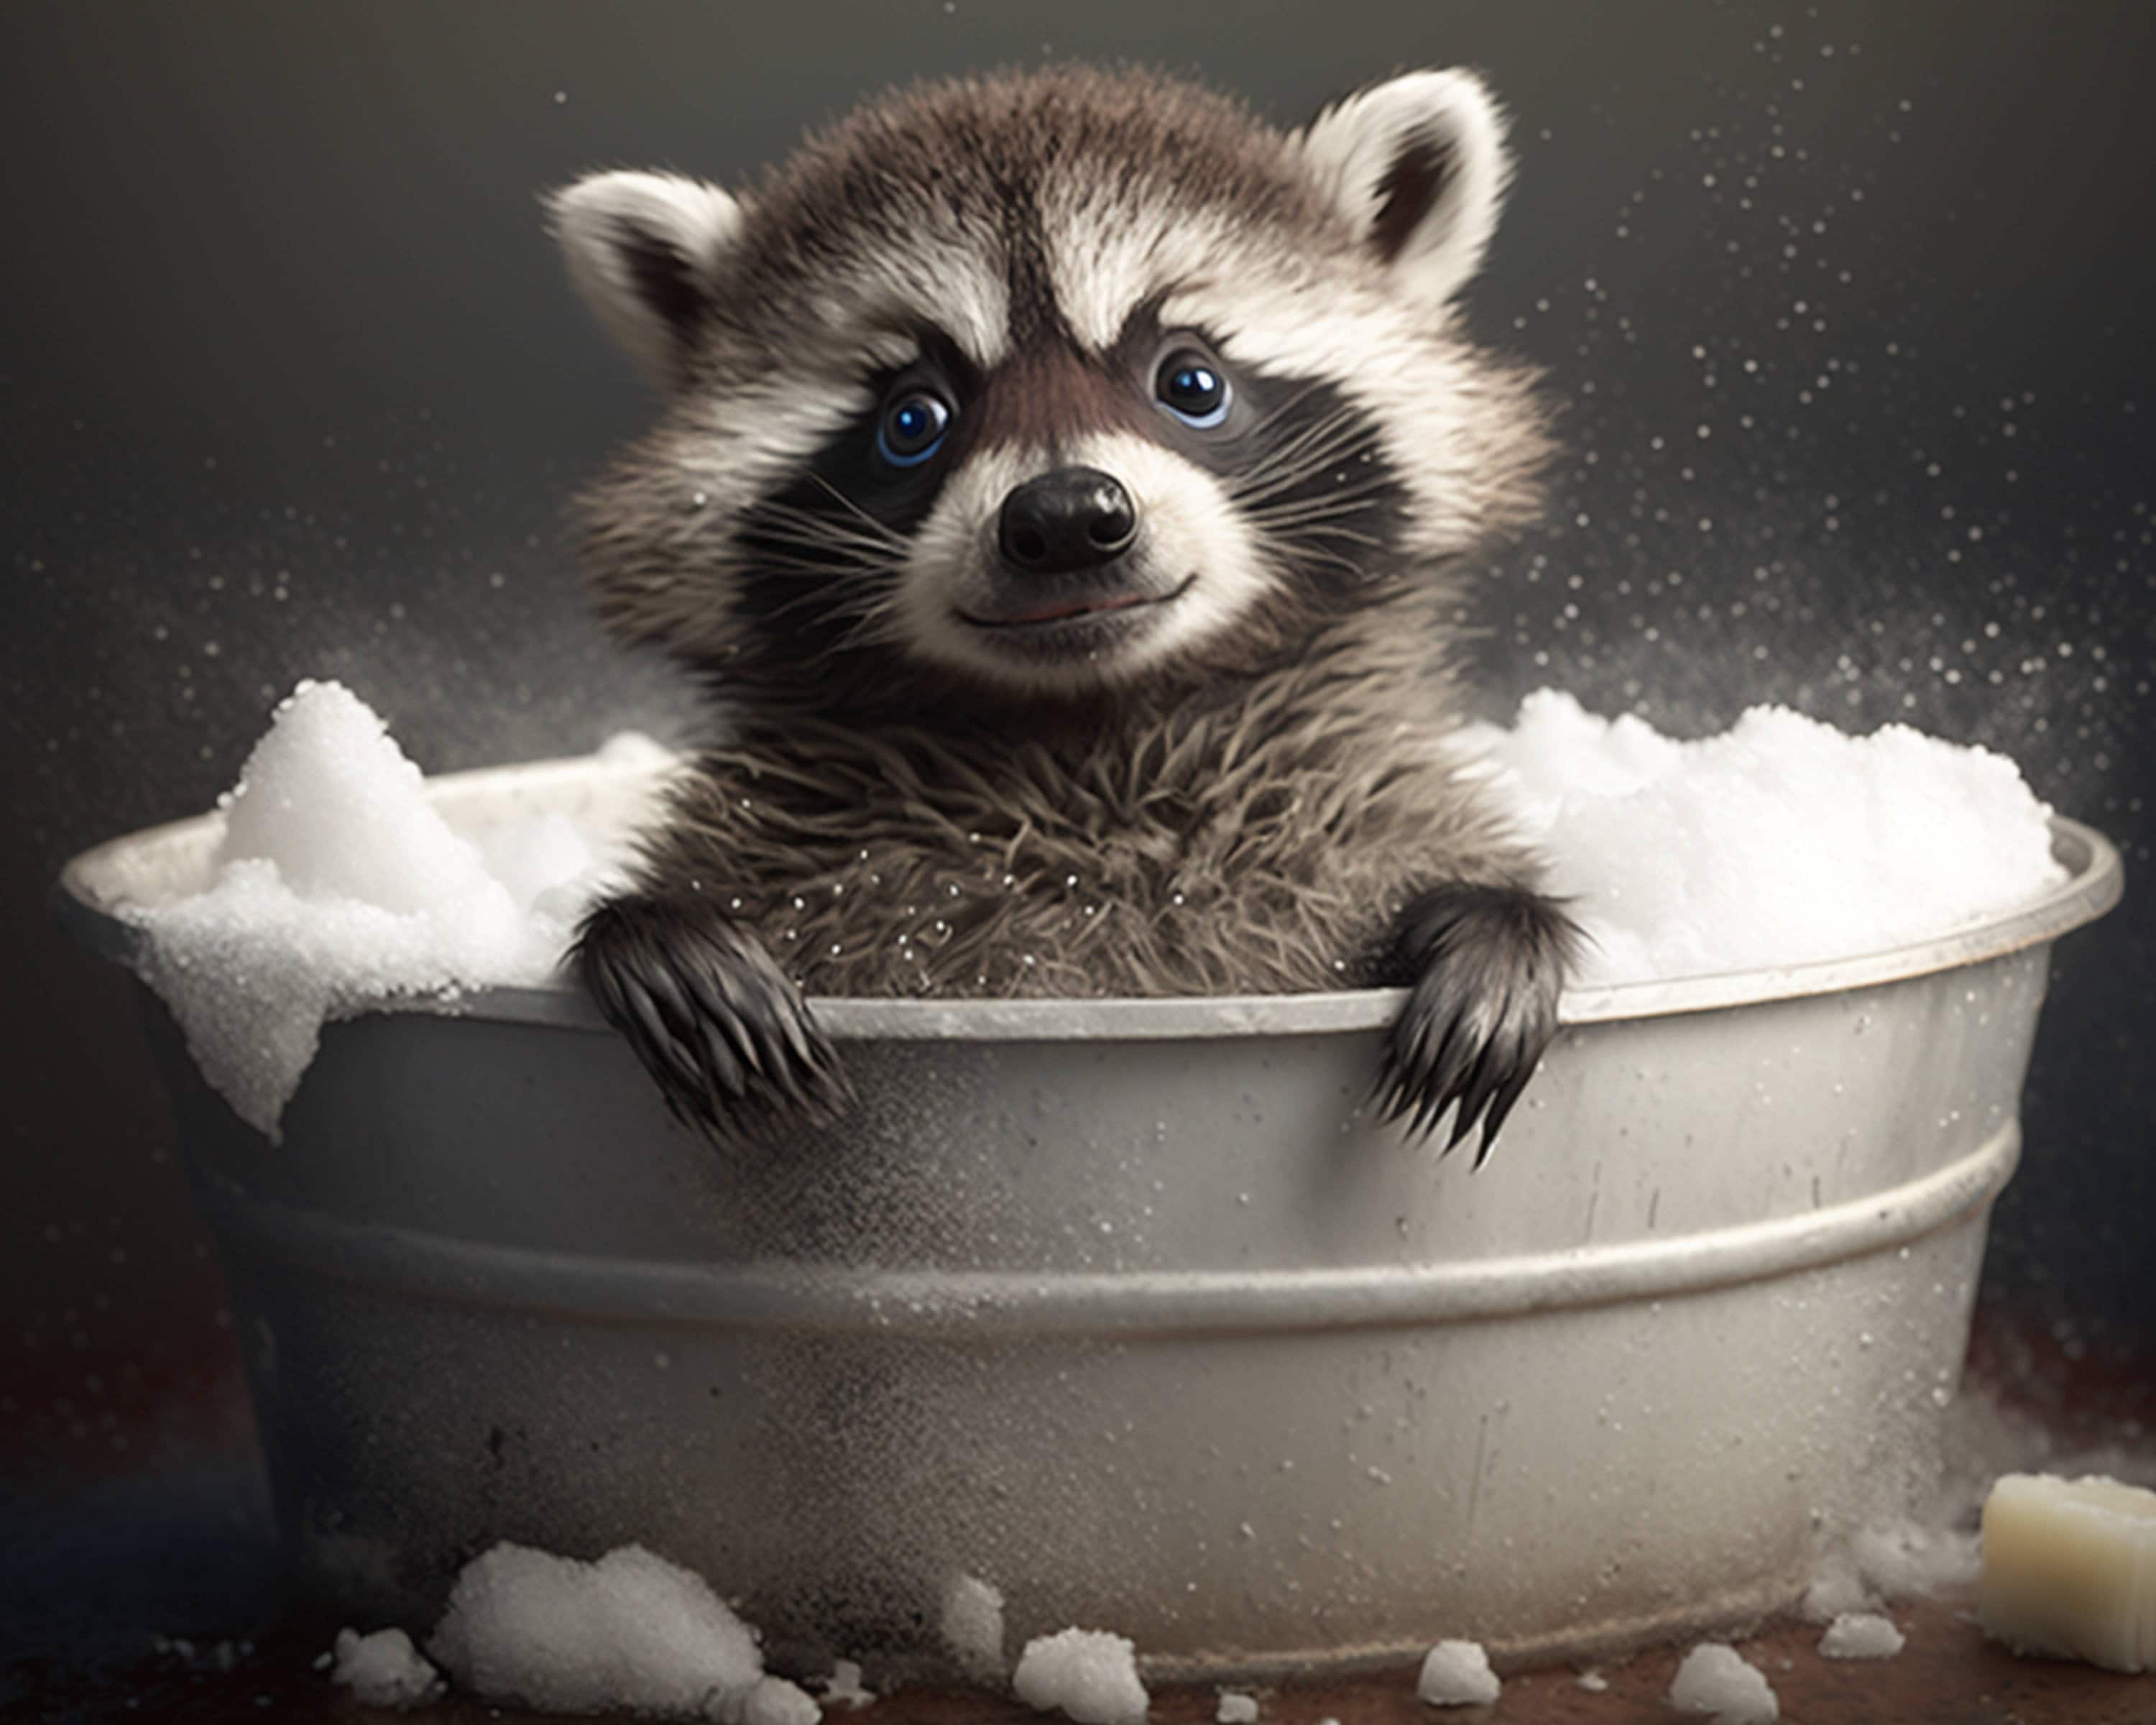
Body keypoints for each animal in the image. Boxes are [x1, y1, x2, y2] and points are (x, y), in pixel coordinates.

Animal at [551, 62, 1579, 1157]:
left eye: (1191, 381)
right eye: (913, 419)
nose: (1070, 519)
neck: (1092, 718)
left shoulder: (1354, 811)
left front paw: (1489, 929)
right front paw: (663, 940)